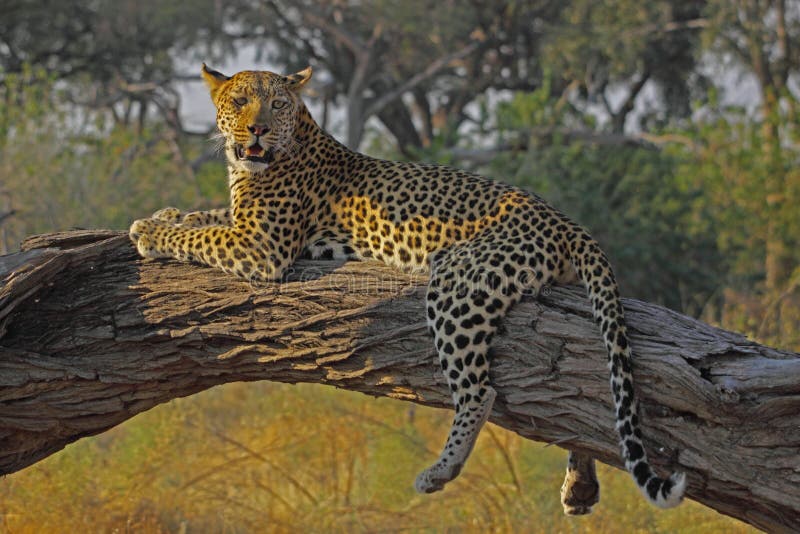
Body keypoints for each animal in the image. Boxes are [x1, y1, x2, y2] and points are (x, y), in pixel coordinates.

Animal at [129, 64, 686, 508]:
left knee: (480, 391)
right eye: (239, 101)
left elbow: (201, 235)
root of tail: (565, 221)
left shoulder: (259, 245)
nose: (258, 128)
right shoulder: (242, 224)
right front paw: (165, 214)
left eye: (278, 104)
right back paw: (580, 484)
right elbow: (206, 217)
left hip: (457, 285)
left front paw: (151, 232)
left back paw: (440, 472)